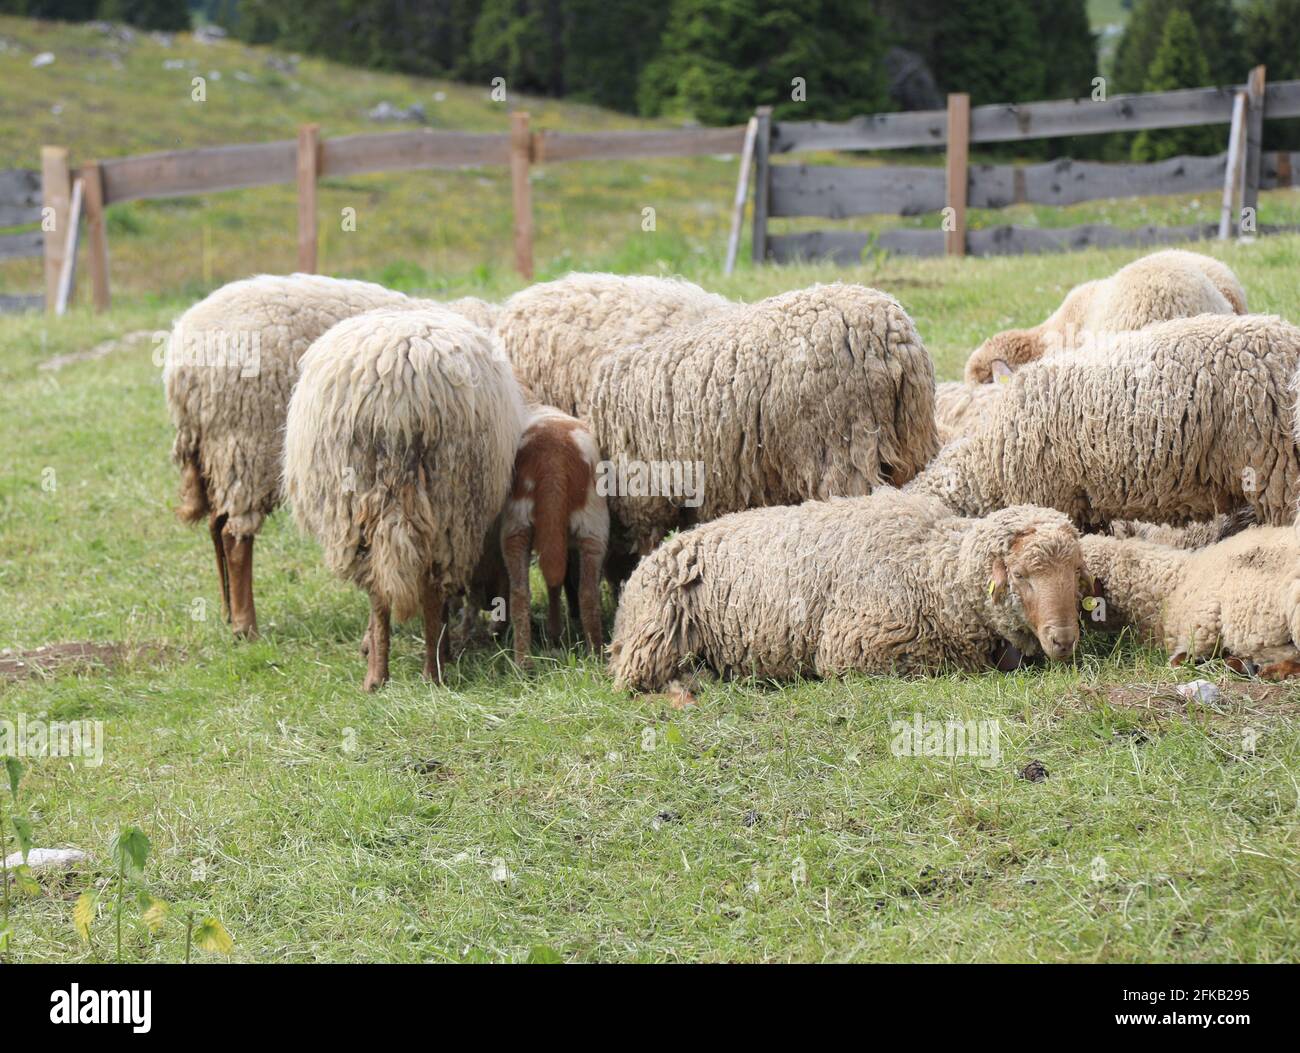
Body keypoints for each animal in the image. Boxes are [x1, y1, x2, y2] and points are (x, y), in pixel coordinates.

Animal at [164, 273, 495, 638]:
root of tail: (182, 361)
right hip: (245, 444)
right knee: (234, 535)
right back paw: (245, 626)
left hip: (222, 452)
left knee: (216, 523)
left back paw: (226, 611)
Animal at [282, 307, 523, 690]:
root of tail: (400, 399)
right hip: (445, 500)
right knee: (416, 585)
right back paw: (421, 670)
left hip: (369, 502)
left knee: (386, 591)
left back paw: (391, 675)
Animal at [500, 405, 609, 664]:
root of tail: (553, 460)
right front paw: (555, 632)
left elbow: (554, 583)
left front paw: (554, 632)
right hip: (593, 525)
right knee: (587, 593)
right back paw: (596, 655)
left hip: (517, 525)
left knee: (520, 594)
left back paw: (523, 663)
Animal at [608, 489, 1086, 692]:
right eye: (1021, 575)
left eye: (1077, 572)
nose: (1064, 640)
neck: (931, 567)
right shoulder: (855, 646)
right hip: (655, 638)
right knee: (638, 682)